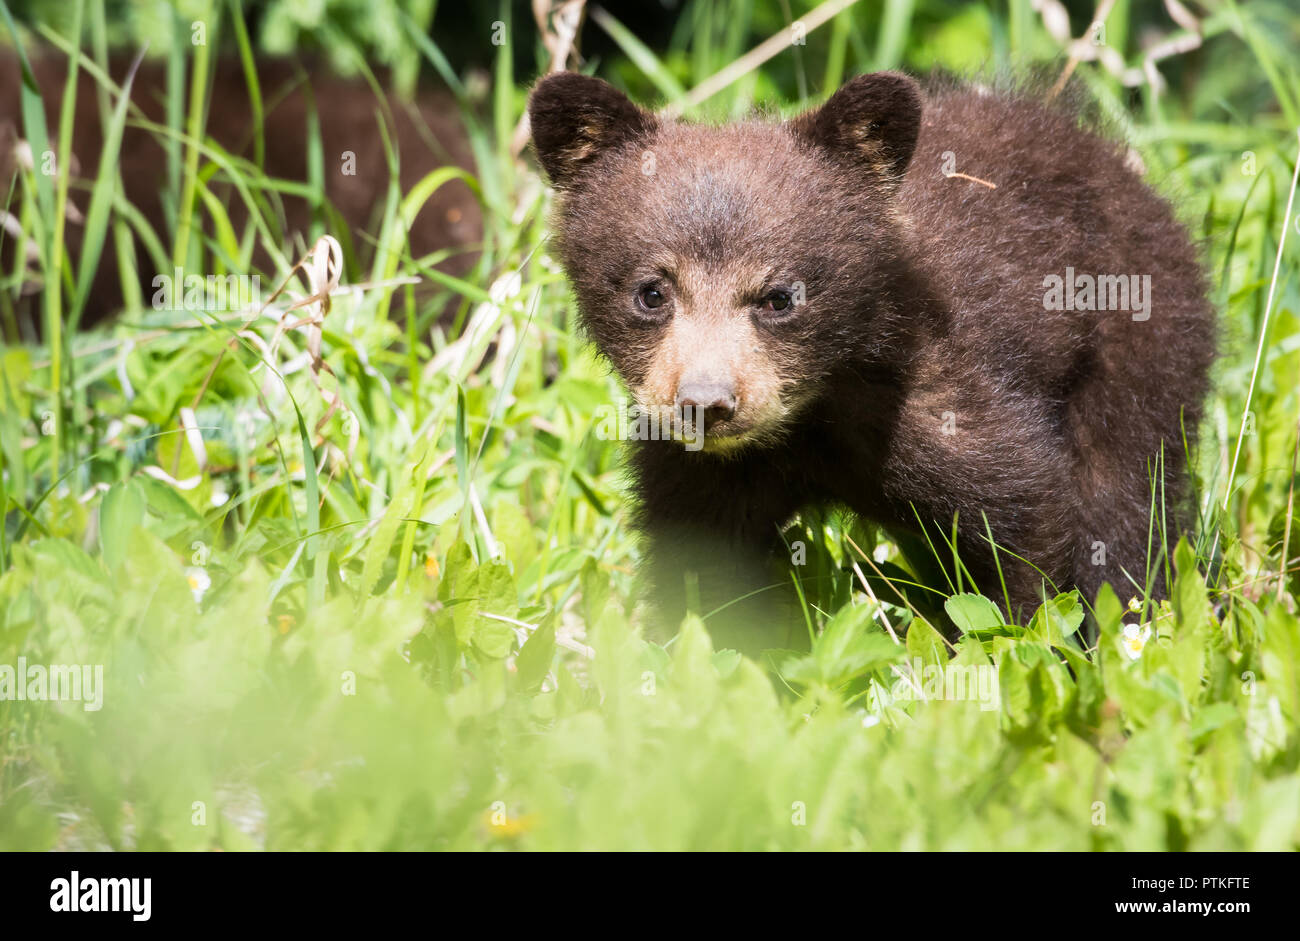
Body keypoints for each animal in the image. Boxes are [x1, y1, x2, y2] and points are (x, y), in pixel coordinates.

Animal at [527, 70, 1215, 649]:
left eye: (780, 296)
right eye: (652, 292)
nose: (706, 404)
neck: (810, 415)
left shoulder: (939, 399)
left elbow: (1028, 521)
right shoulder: (696, 472)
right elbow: (700, 573)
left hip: (1138, 345)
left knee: (1123, 499)